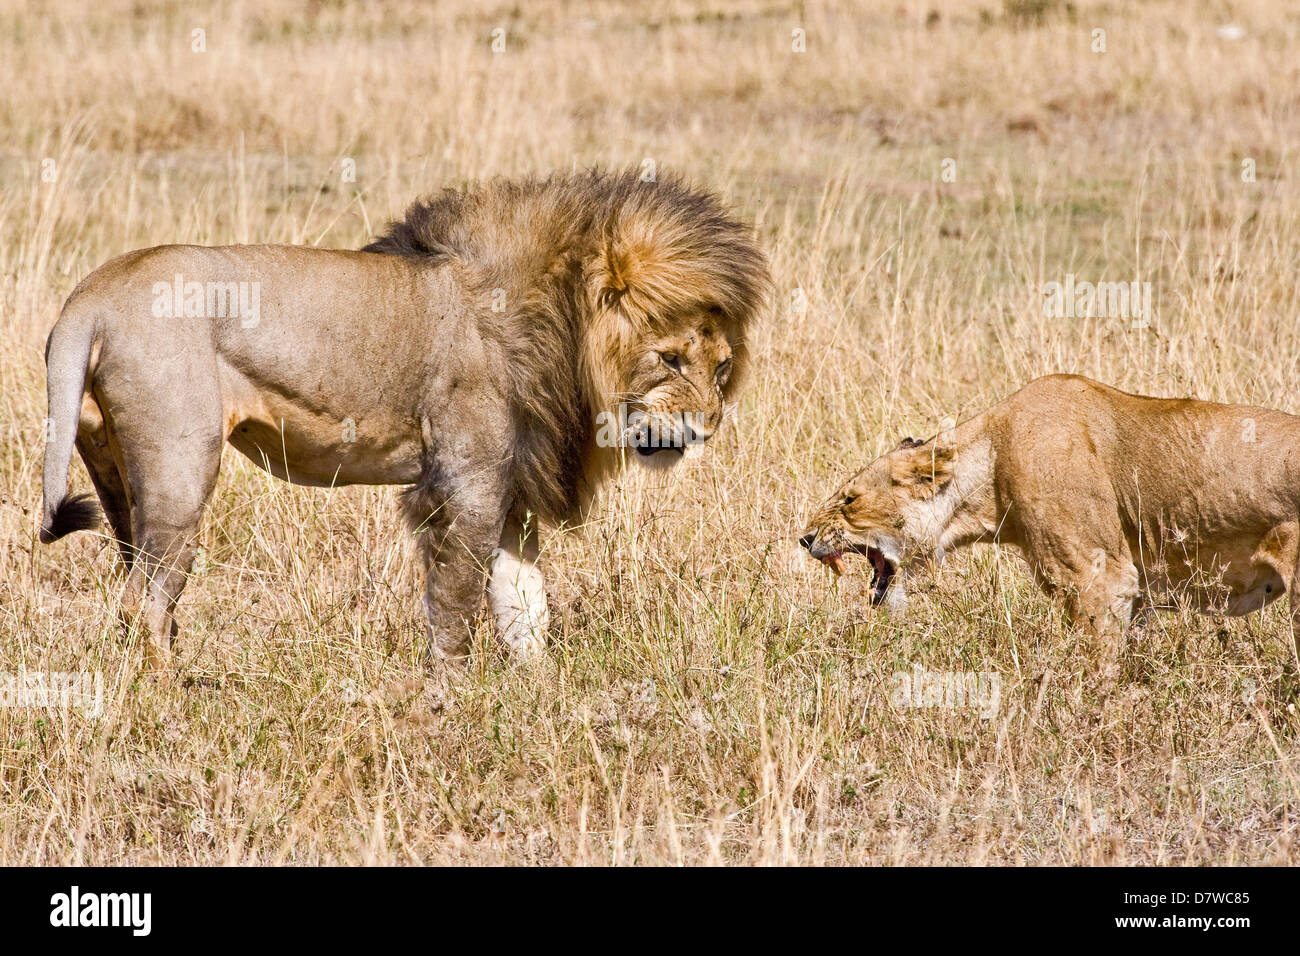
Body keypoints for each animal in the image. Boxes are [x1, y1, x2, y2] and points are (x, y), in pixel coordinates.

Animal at [40, 169, 770, 670]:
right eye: (670, 358)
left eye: (722, 366)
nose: (706, 427)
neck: (555, 322)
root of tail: (91, 297)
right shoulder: (466, 481)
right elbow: (457, 600)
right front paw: (452, 695)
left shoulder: (511, 492)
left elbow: (524, 604)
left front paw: (539, 691)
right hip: (181, 470)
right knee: (143, 601)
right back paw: (174, 699)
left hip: (114, 474)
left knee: (136, 587)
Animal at [801, 374, 1300, 676]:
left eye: (849, 499)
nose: (805, 539)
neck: (991, 464)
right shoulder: (1135, 588)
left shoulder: (1100, 575)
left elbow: (1096, 668)